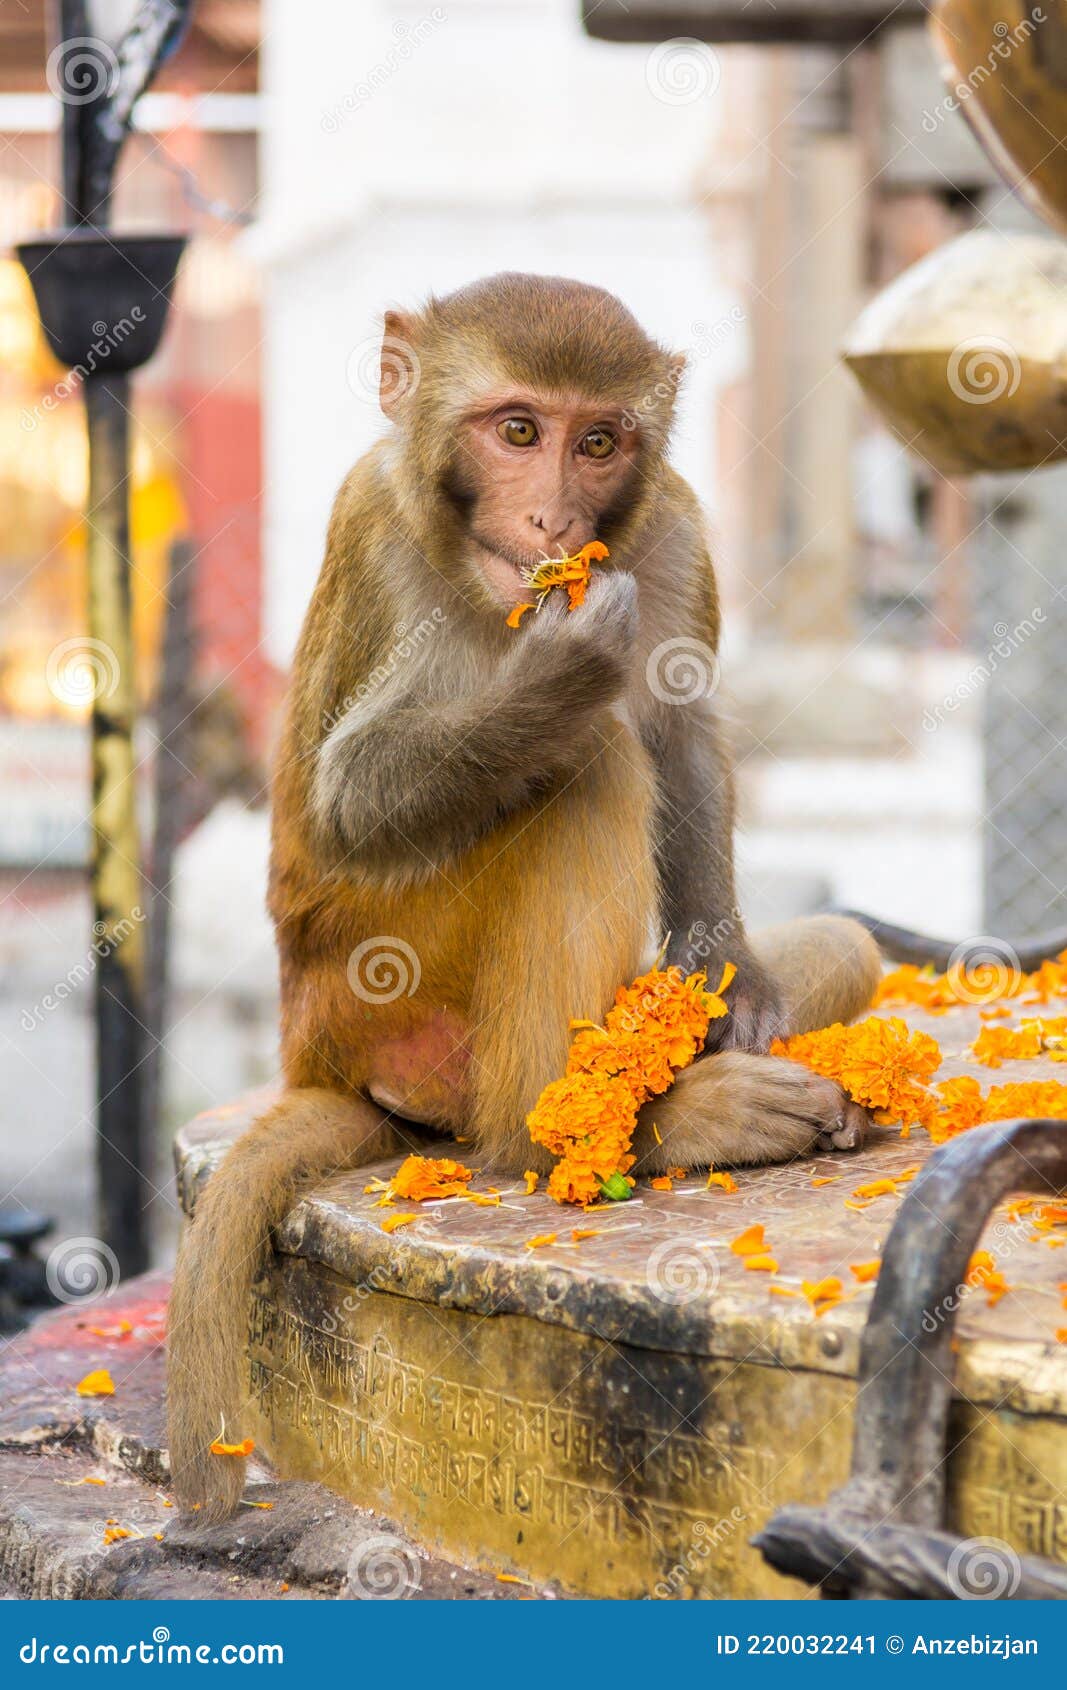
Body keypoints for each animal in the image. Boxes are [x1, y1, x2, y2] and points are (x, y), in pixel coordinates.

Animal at [167, 273, 881, 1521]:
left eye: (595, 442)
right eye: (514, 431)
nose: (552, 524)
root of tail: (318, 1055)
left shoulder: (670, 522)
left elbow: (684, 732)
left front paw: (730, 987)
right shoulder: (374, 522)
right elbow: (350, 792)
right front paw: (560, 664)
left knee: (834, 940)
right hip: (381, 982)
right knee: (587, 767)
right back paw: (615, 1126)